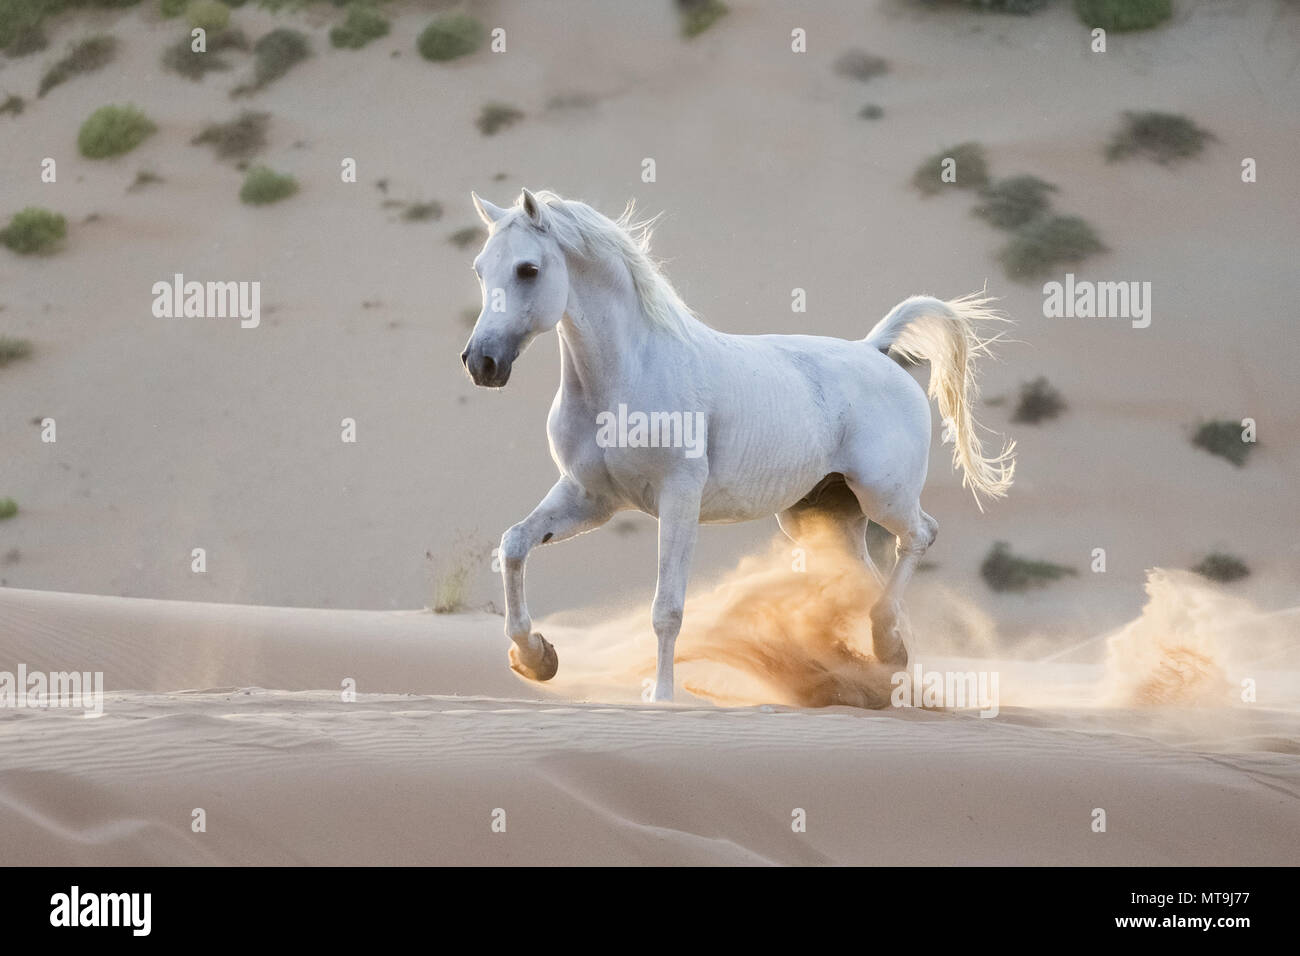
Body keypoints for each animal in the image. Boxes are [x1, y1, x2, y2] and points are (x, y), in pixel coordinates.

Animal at [460, 188, 1015, 702]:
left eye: (528, 269)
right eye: (481, 270)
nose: (481, 362)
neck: (626, 376)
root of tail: (873, 350)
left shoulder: (678, 497)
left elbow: (667, 608)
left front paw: (661, 698)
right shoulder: (589, 497)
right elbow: (514, 545)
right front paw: (536, 658)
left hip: (884, 496)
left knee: (920, 535)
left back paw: (887, 645)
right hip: (822, 513)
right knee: (862, 572)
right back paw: (883, 661)